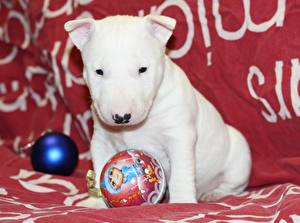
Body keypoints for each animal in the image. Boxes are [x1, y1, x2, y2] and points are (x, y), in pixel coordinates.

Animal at [65, 15, 251, 207]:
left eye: (143, 69)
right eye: (99, 71)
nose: (121, 117)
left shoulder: (179, 135)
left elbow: (180, 173)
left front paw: (182, 201)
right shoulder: (102, 140)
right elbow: (100, 166)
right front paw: (96, 202)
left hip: (239, 156)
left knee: (232, 186)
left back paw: (214, 194)